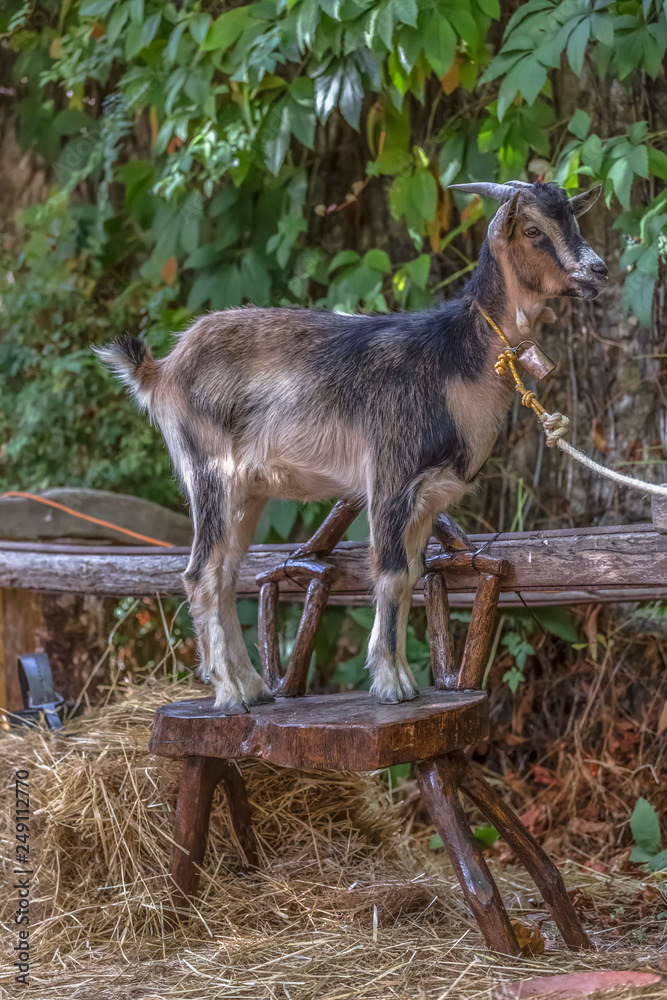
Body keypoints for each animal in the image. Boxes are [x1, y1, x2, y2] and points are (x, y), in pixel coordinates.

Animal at [96, 180, 607, 714]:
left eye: (573, 218)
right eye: (532, 230)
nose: (598, 271)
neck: (453, 359)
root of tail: (160, 371)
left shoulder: (426, 497)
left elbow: (411, 576)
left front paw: (406, 679)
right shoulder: (390, 475)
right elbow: (390, 572)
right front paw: (391, 685)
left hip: (247, 492)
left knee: (225, 571)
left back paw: (254, 688)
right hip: (208, 471)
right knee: (201, 574)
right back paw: (231, 693)